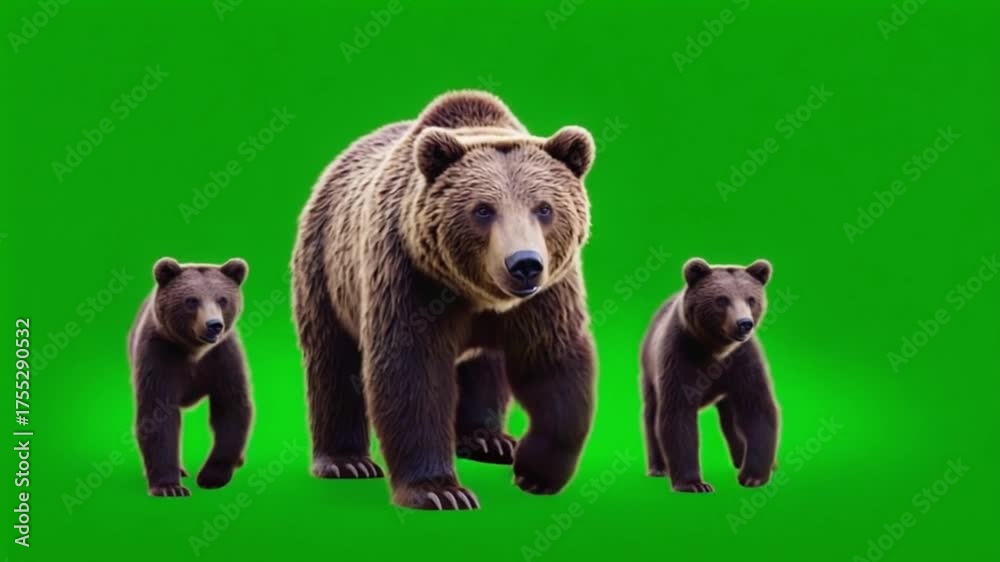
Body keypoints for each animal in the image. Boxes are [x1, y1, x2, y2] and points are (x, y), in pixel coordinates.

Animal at [128, 257, 253, 497]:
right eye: (191, 300)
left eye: (222, 299)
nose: (214, 325)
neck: (194, 351)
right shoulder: (160, 355)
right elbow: (157, 417)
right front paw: (170, 487)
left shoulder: (222, 358)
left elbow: (231, 407)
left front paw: (212, 476)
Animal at [292, 90, 597, 510]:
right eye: (483, 209)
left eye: (544, 208)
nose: (524, 265)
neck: (477, 293)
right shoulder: (408, 274)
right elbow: (411, 373)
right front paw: (440, 491)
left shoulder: (547, 294)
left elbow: (554, 365)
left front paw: (535, 472)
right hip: (326, 269)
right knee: (332, 360)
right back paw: (346, 462)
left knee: (485, 364)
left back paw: (488, 439)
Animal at [640, 258, 779, 493]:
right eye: (721, 299)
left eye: (751, 299)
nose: (744, 323)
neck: (715, 349)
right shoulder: (680, 357)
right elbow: (678, 417)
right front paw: (694, 483)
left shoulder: (743, 363)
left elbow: (758, 409)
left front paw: (753, 476)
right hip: (649, 370)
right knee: (652, 414)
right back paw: (658, 467)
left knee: (731, 420)